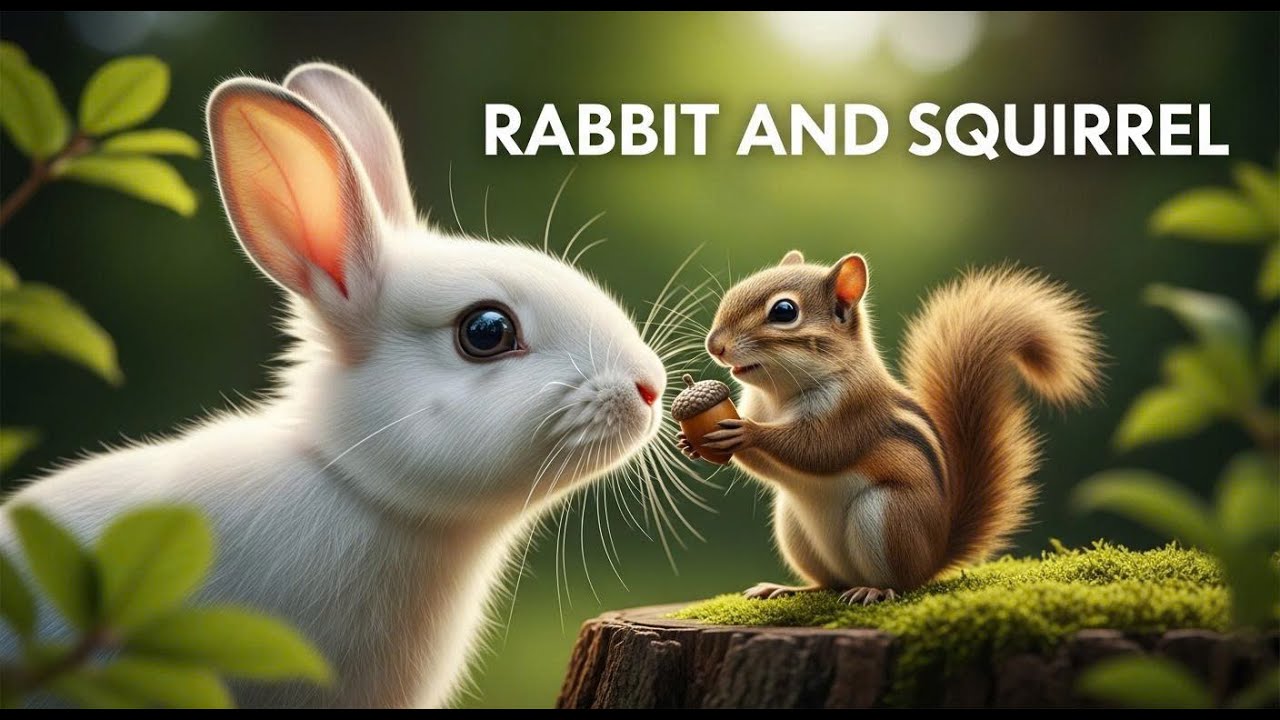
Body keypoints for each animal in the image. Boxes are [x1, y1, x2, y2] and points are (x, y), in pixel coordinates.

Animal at [677, 250, 1102, 604]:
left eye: (784, 311)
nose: (714, 345)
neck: (779, 396)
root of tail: (935, 554)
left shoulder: (855, 414)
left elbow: (817, 450)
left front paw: (749, 433)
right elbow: (766, 465)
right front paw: (689, 441)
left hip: (886, 516)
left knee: (900, 583)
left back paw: (874, 590)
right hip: (793, 526)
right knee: (828, 583)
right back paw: (788, 588)